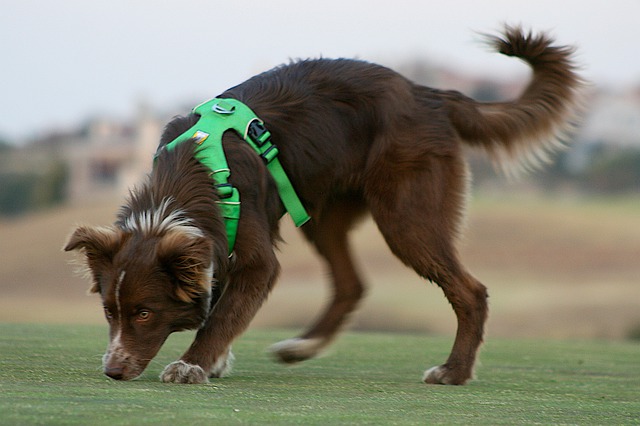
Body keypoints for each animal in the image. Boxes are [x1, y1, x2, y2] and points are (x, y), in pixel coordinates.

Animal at [66, 27, 584, 386]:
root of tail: (429, 93)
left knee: (470, 291)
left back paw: (453, 372)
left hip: (406, 217)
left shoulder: (255, 258)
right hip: (324, 214)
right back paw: (303, 346)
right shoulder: (217, 246)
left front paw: (194, 364)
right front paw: (214, 361)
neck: (188, 178)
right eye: (109, 312)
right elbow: (221, 305)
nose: (113, 371)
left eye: (145, 313)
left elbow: (224, 314)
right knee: (351, 284)